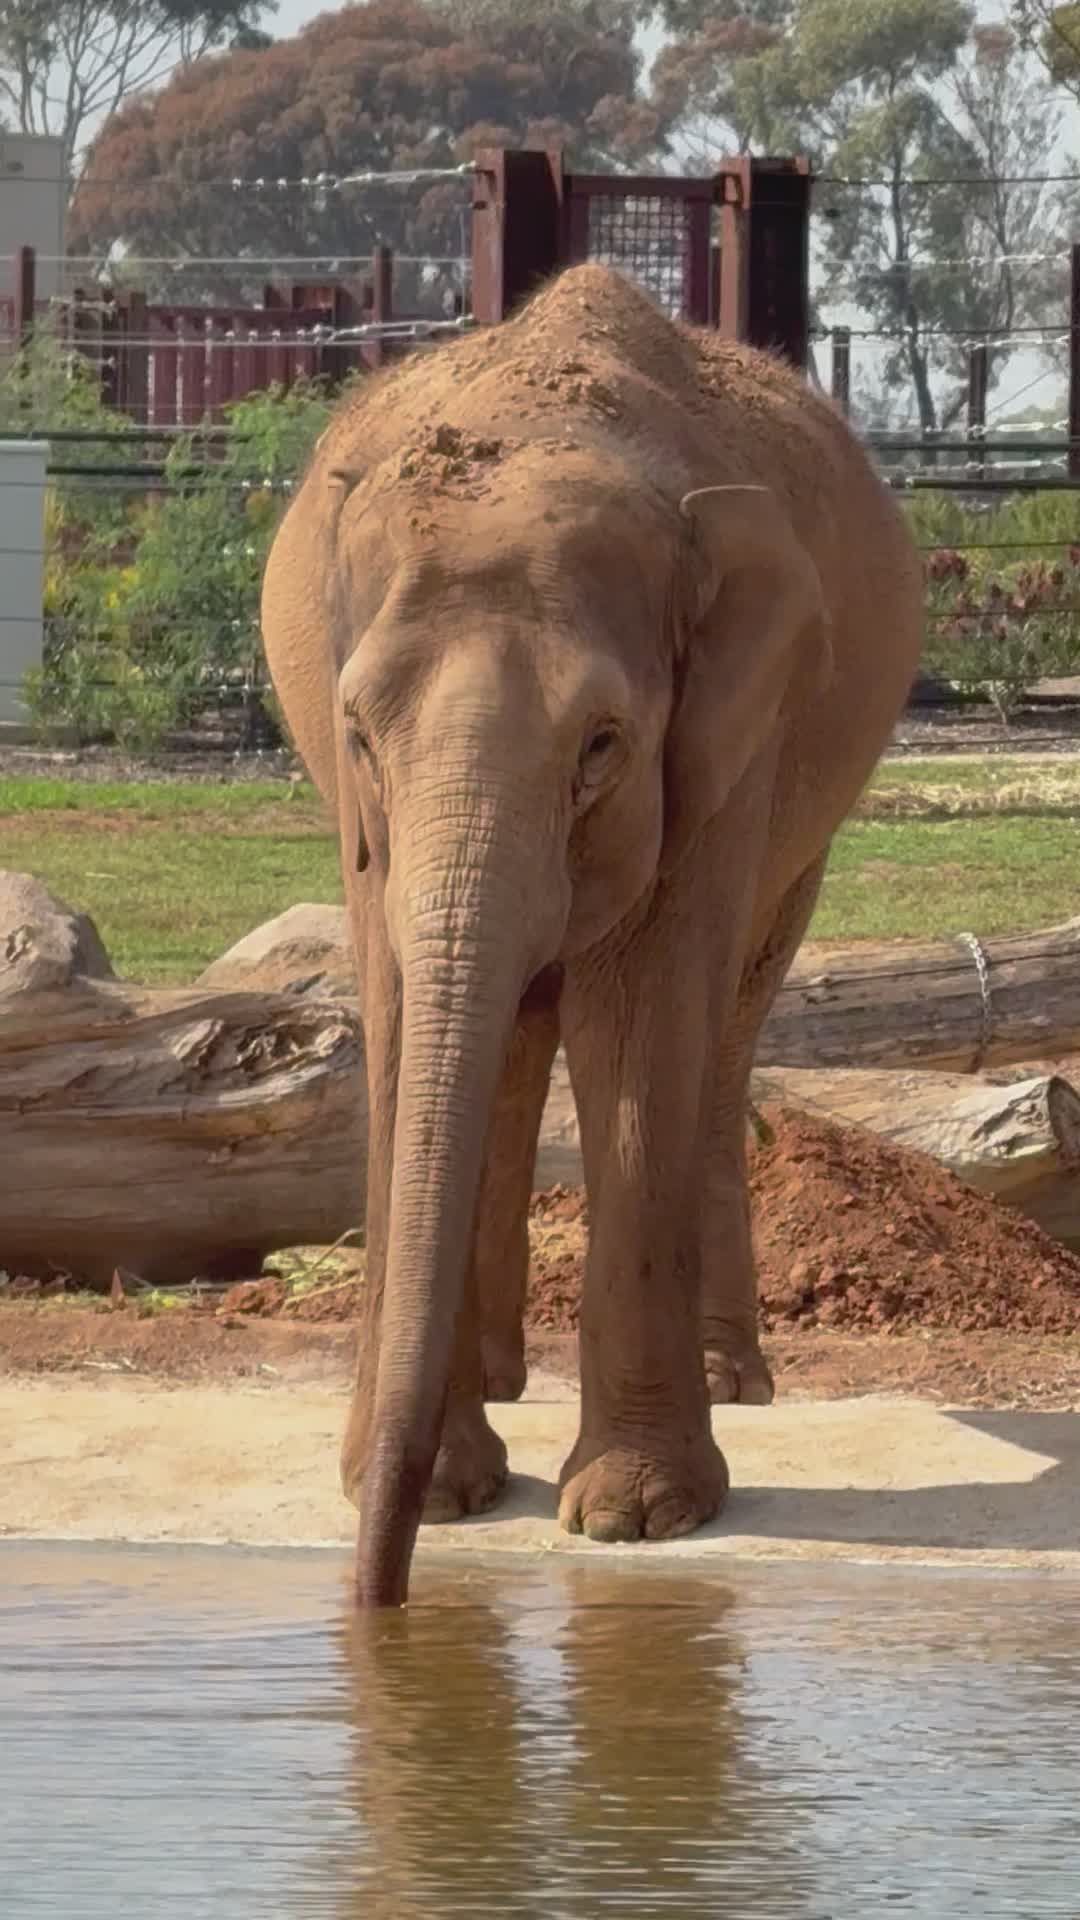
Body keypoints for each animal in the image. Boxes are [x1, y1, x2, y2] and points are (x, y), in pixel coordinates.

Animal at [261, 262, 923, 1606]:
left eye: (603, 746)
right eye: (355, 729)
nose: (378, 1604)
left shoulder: (725, 748)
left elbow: (643, 1024)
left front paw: (633, 1517)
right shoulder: (365, 827)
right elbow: (402, 1017)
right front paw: (442, 1492)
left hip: (805, 821)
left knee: (722, 1029)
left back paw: (728, 1380)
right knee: (513, 1039)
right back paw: (504, 1380)